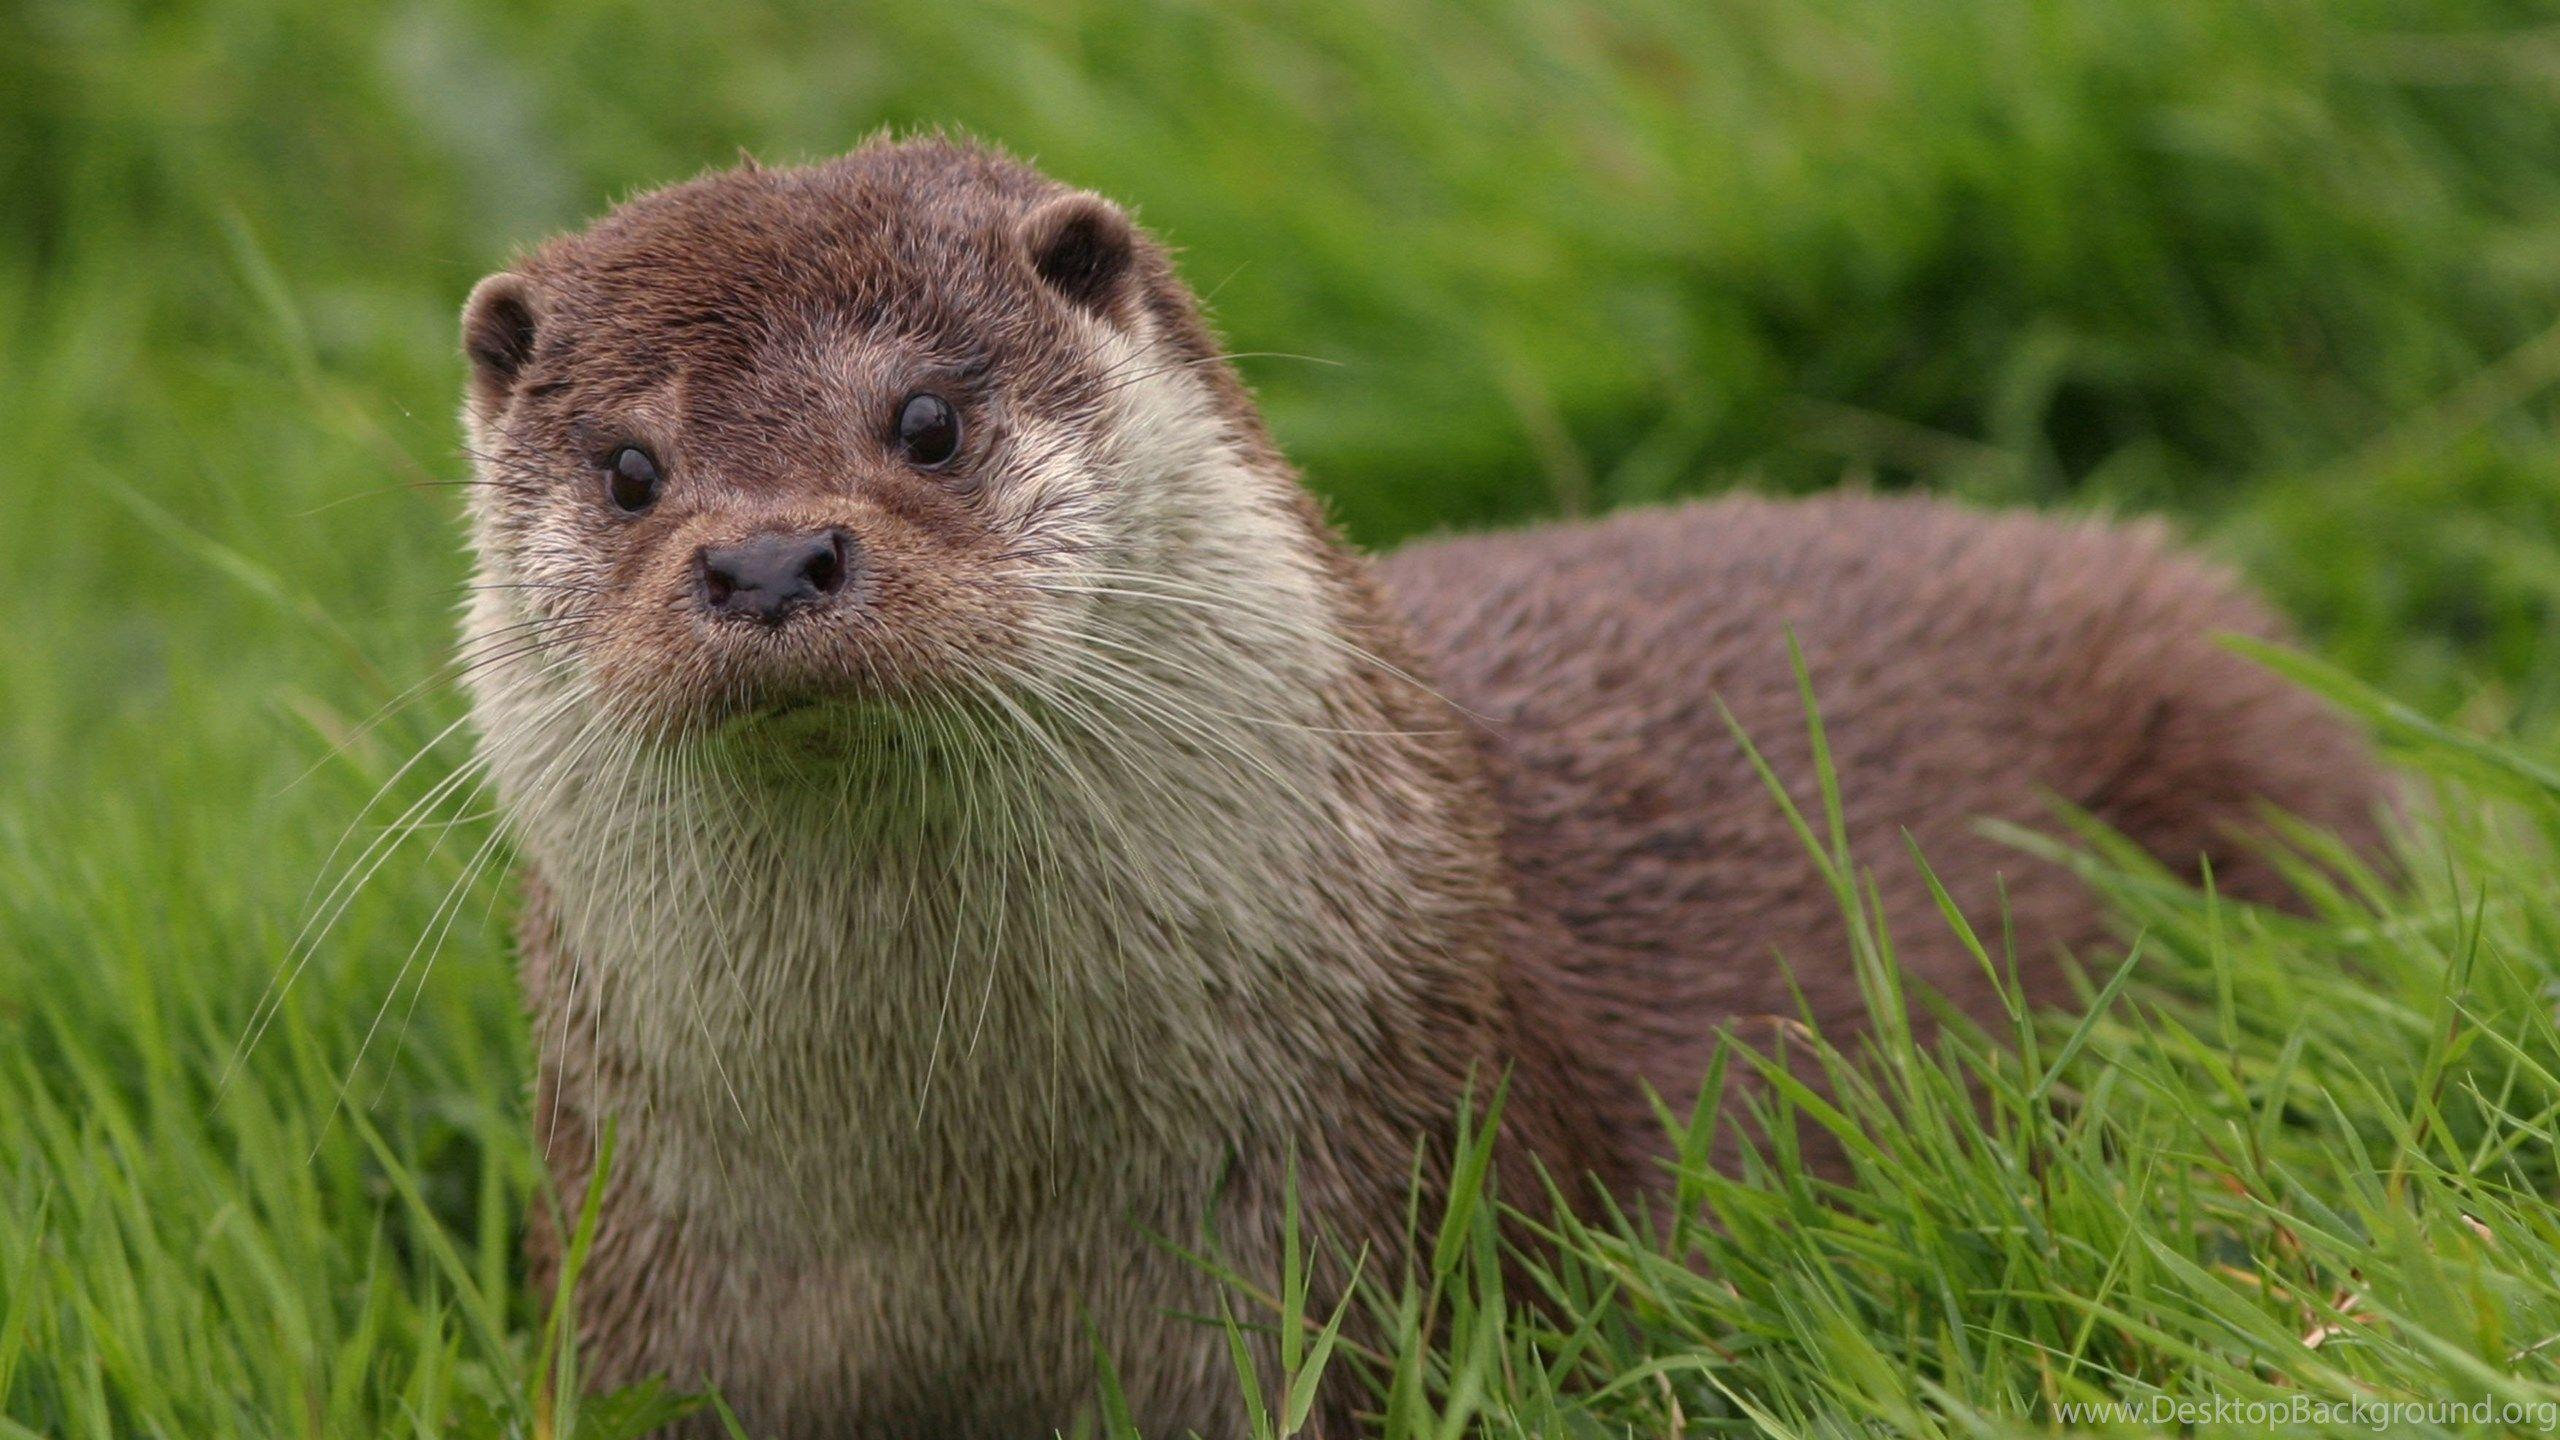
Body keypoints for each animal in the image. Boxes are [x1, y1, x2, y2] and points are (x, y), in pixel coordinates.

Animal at [454, 138, 2381, 1438]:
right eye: (631, 468)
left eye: (925, 420)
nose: (769, 558)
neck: (962, 1198)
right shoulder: (646, 1303)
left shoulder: (1361, 1227)